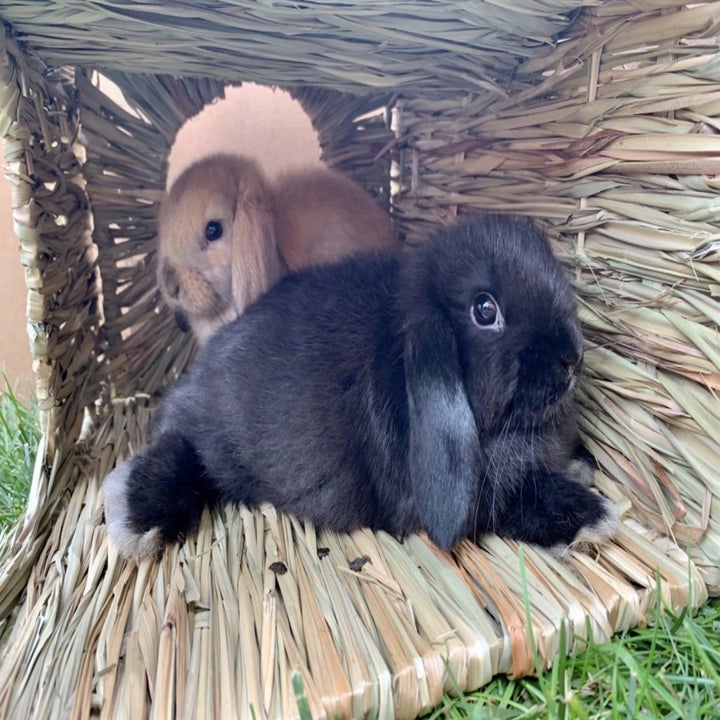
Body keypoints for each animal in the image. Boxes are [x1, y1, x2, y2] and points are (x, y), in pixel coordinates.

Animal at [104, 213, 618, 560]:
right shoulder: (483, 497)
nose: (573, 359)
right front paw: (597, 518)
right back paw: (138, 523)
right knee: (178, 451)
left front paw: (582, 464)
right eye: (485, 310)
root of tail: (189, 388)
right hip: (211, 443)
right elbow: (524, 499)